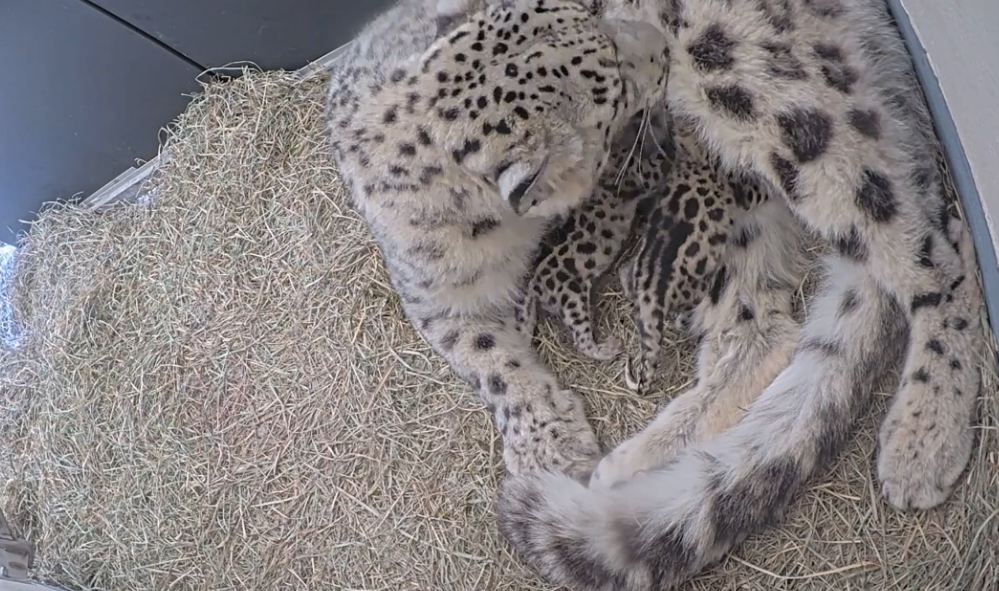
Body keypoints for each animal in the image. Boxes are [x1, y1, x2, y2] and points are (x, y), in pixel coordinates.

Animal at [325, 0, 671, 482]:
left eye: (590, 10)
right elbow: (486, 357)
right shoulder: (440, 299)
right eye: (617, 88)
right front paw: (553, 442)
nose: (666, 47)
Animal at [621, 122, 772, 394]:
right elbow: (761, 190)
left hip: (638, 270)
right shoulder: (742, 193)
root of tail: (650, 290)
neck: (692, 153)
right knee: (679, 317)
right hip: (696, 287)